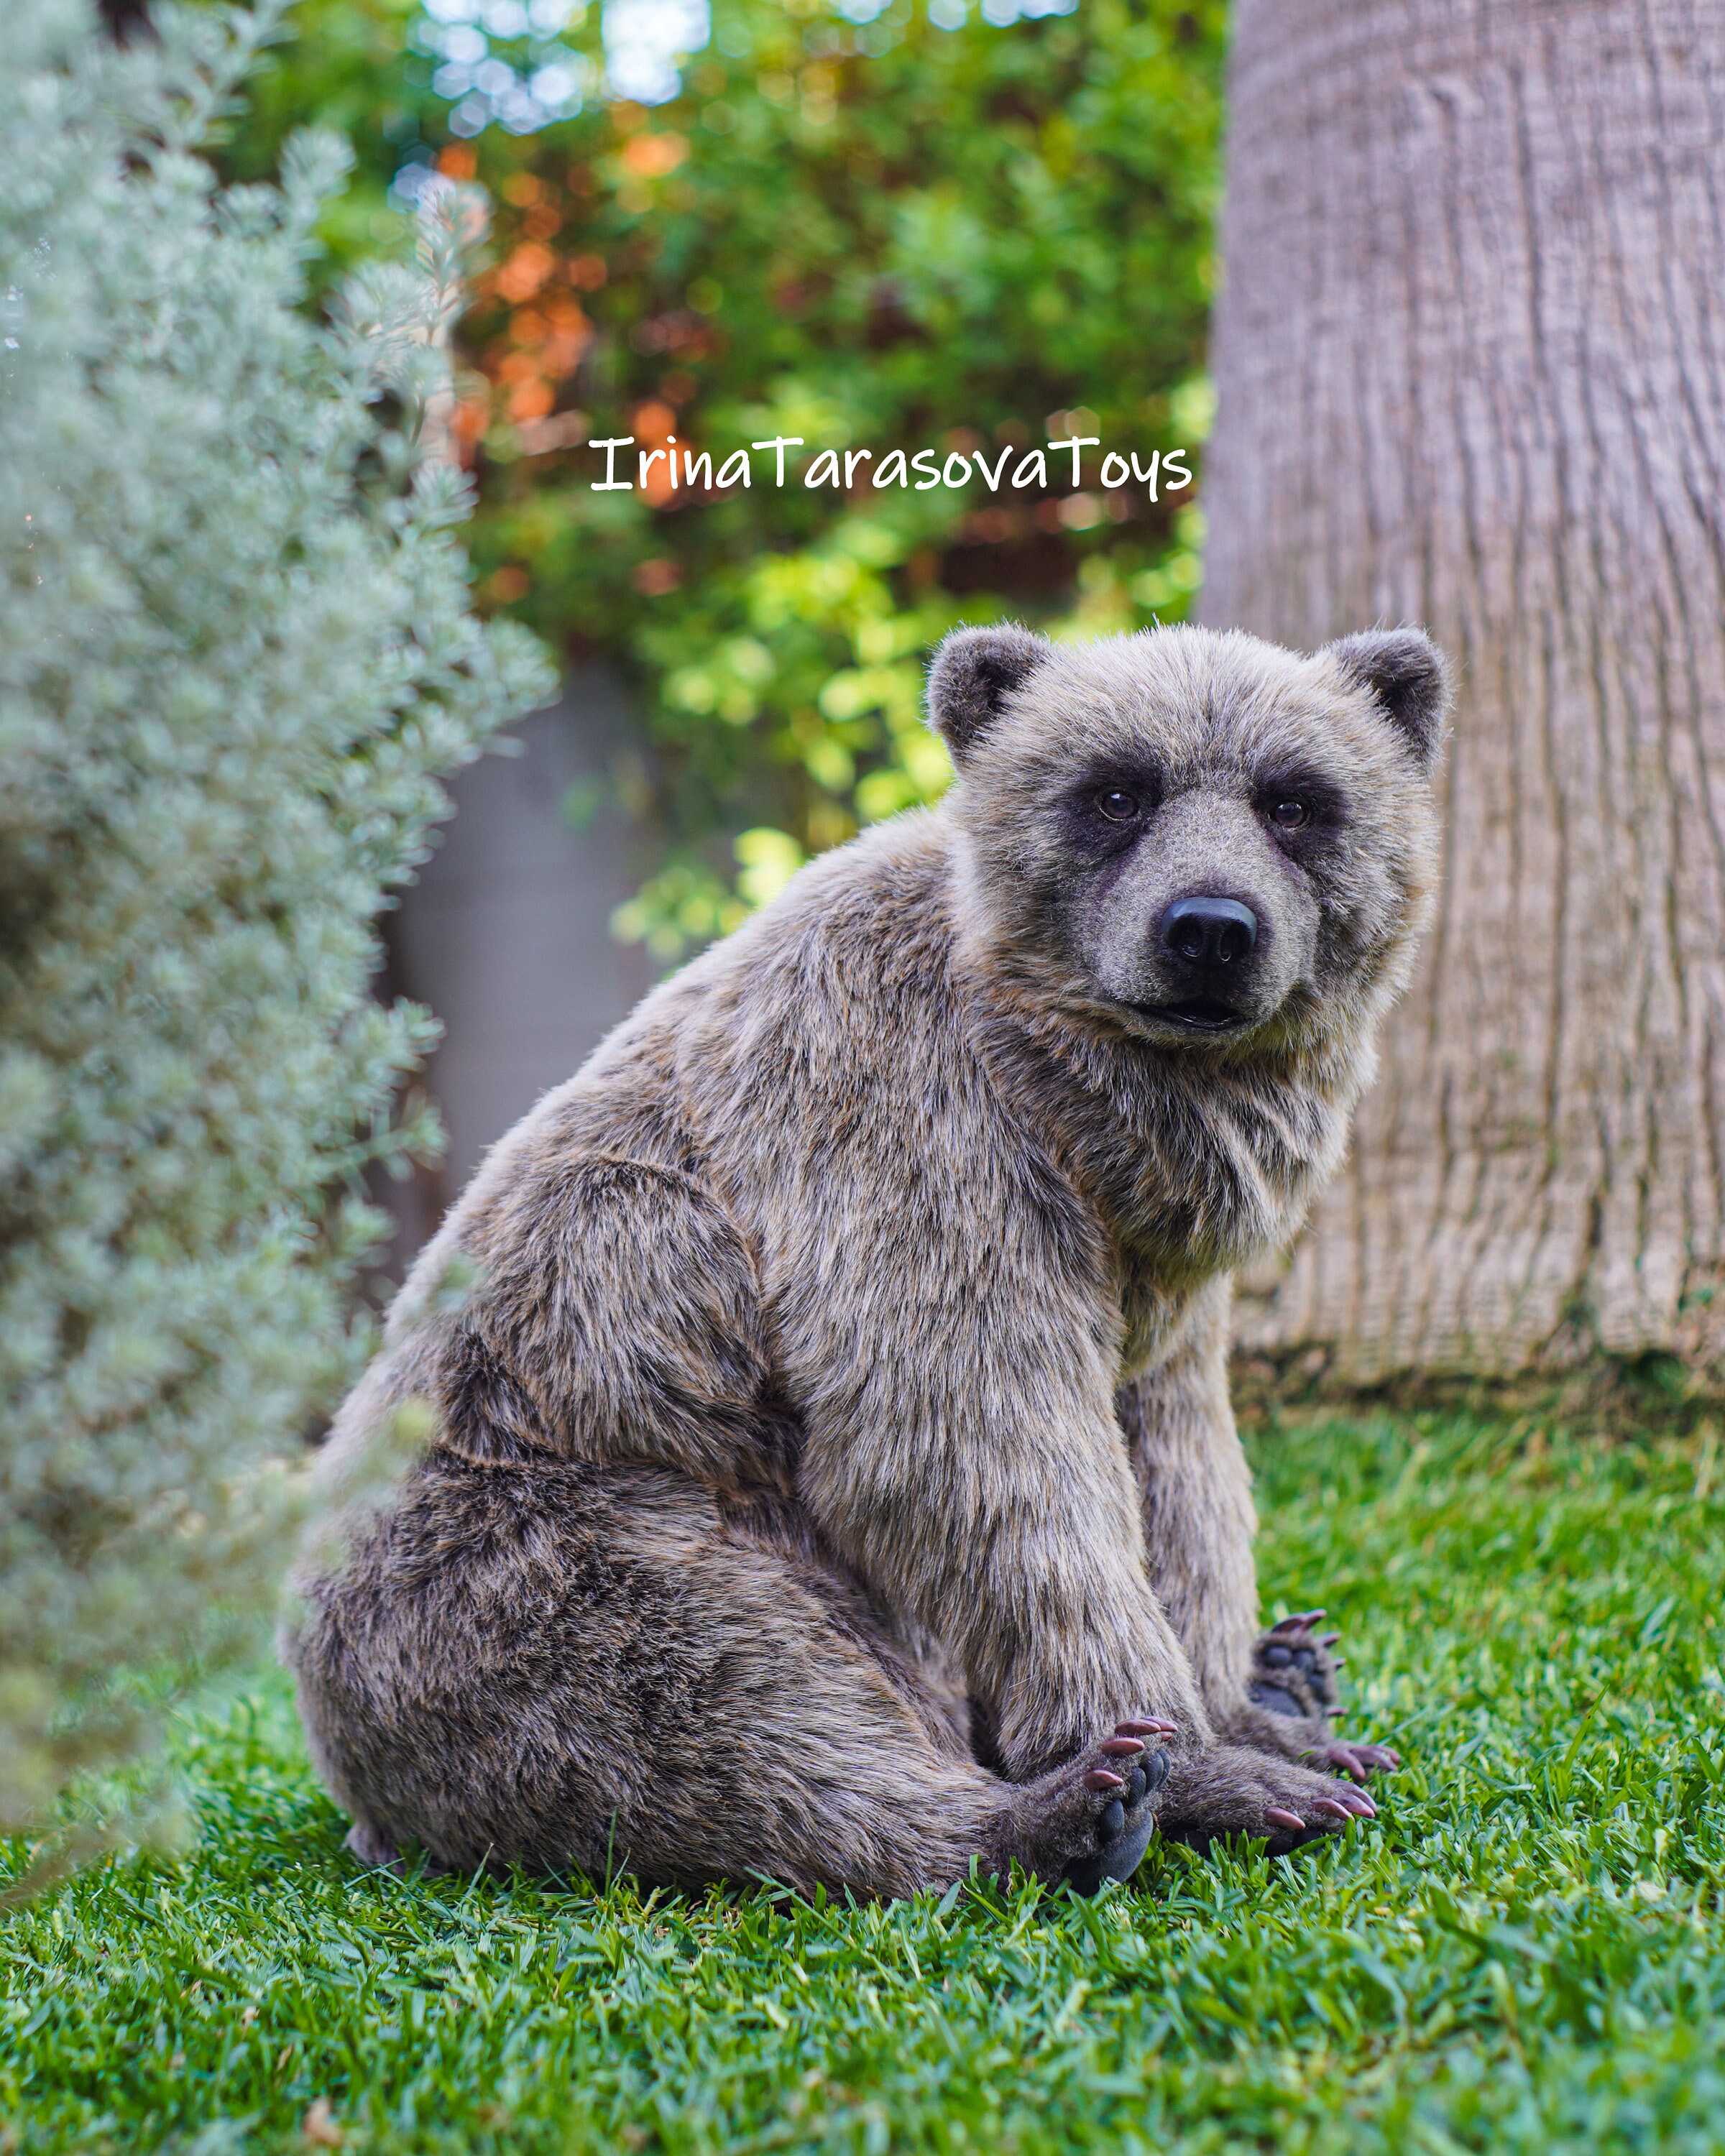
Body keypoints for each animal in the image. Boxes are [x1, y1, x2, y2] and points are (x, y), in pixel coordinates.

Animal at [284, 619, 1448, 1899]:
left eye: (1295, 801)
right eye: (1116, 793)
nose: (1208, 929)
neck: (1090, 1127)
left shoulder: (1161, 1296)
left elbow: (1181, 1479)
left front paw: (1259, 1710)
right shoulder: (907, 1131)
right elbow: (971, 1448)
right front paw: (1199, 1763)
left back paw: (1287, 1676)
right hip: (554, 1533)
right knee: (722, 1707)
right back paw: (1057, 1815)